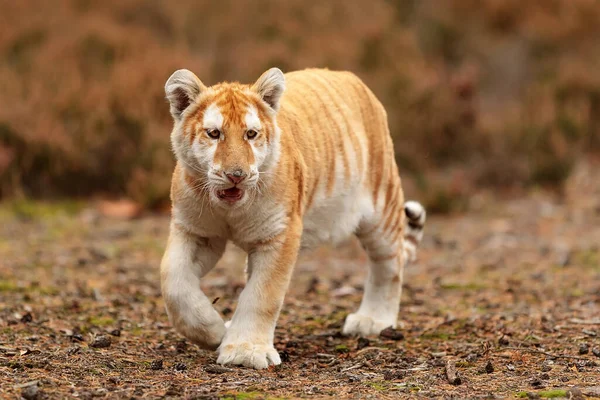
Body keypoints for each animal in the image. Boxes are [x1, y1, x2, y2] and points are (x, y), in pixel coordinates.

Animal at [159, 66, 426, 368]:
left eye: (251, 134)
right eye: (214, 133)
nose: (236, 175)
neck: (229, 209)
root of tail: (351, 77)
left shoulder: (279, 235)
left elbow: (262, 294)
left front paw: (245, 351)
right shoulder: (196, 232)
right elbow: (174, 281)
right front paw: (214, 331)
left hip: (382, 207)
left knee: (388, 265)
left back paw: (372, 321)